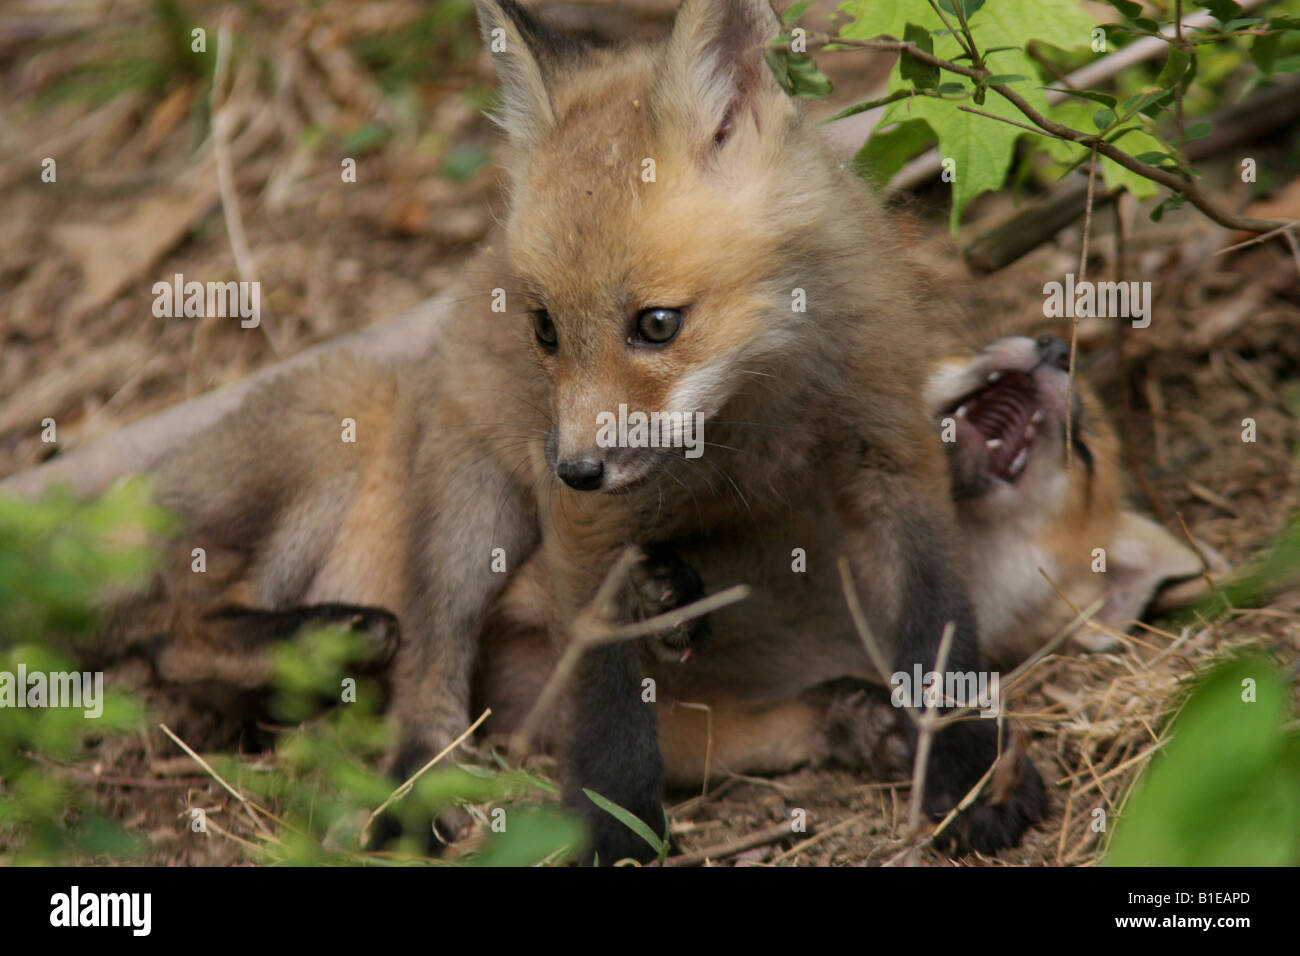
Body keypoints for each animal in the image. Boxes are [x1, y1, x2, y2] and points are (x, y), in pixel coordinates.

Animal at [99, 0, 1049, 863]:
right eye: (546, 329)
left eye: (657, 325)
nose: (574, 467)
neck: (757, 406)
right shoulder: (587, 527)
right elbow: (602, 704)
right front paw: (616, 833)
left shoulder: (891, 452)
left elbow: (939, 633)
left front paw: (970, 773)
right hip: (411, 473)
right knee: (235, 641)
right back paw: (387, 734)